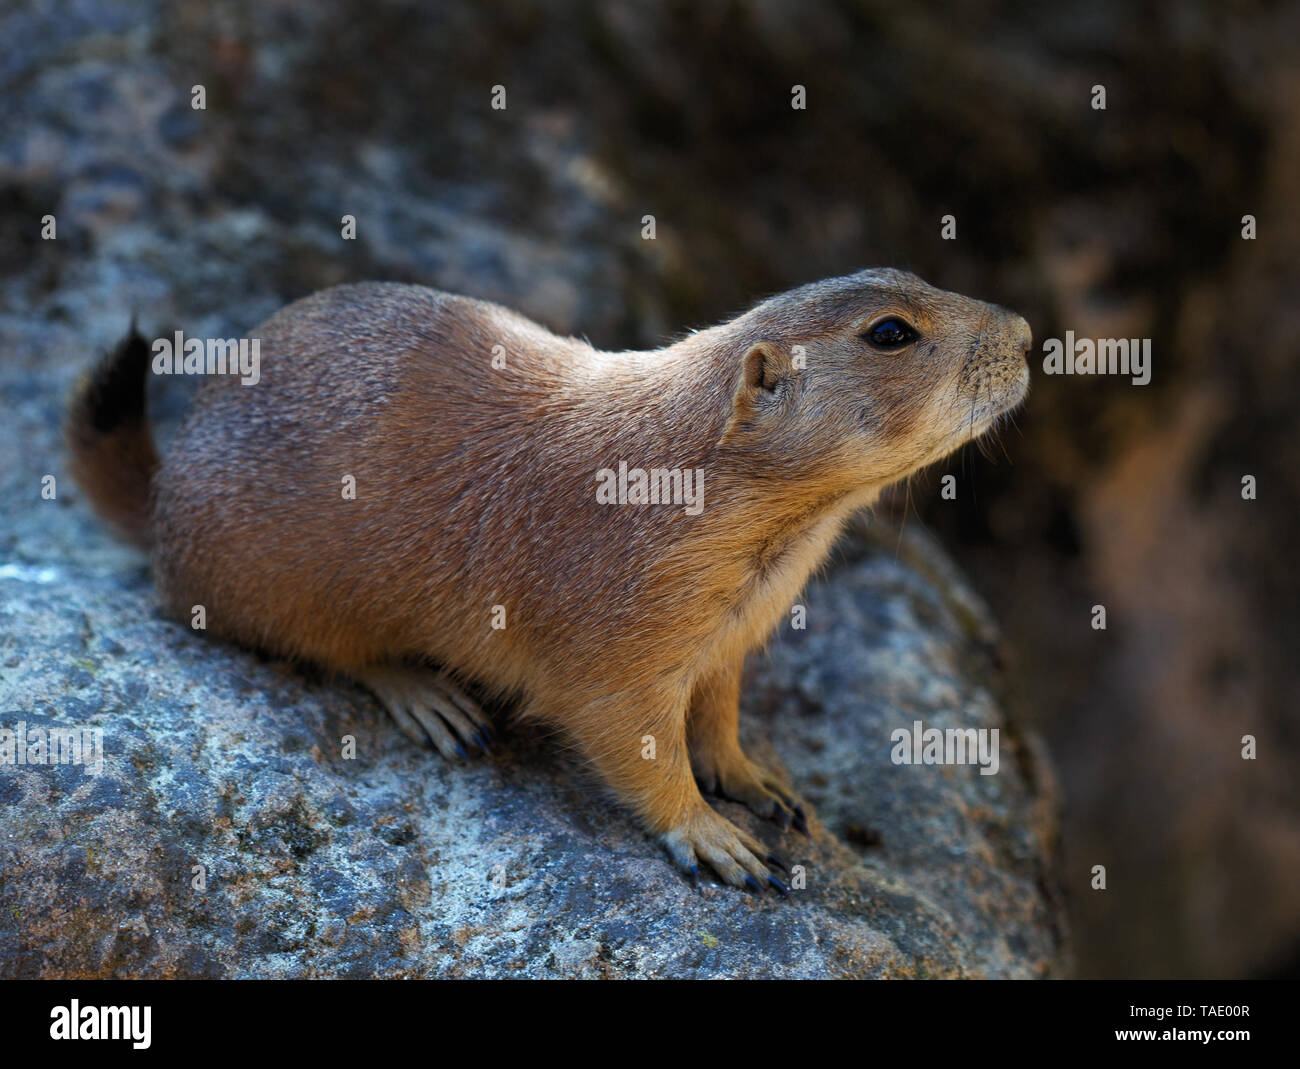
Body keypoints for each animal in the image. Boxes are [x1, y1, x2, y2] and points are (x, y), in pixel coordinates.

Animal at [66, 268, 1031, 893]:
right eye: (891, 331)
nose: (1028, 334)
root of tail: (162, 489)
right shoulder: (619, 629)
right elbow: (630, 735)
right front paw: (719, 843)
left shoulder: (730, 636)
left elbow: (718, 714)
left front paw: (764, 787)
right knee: (335, 650)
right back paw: (431, 699)